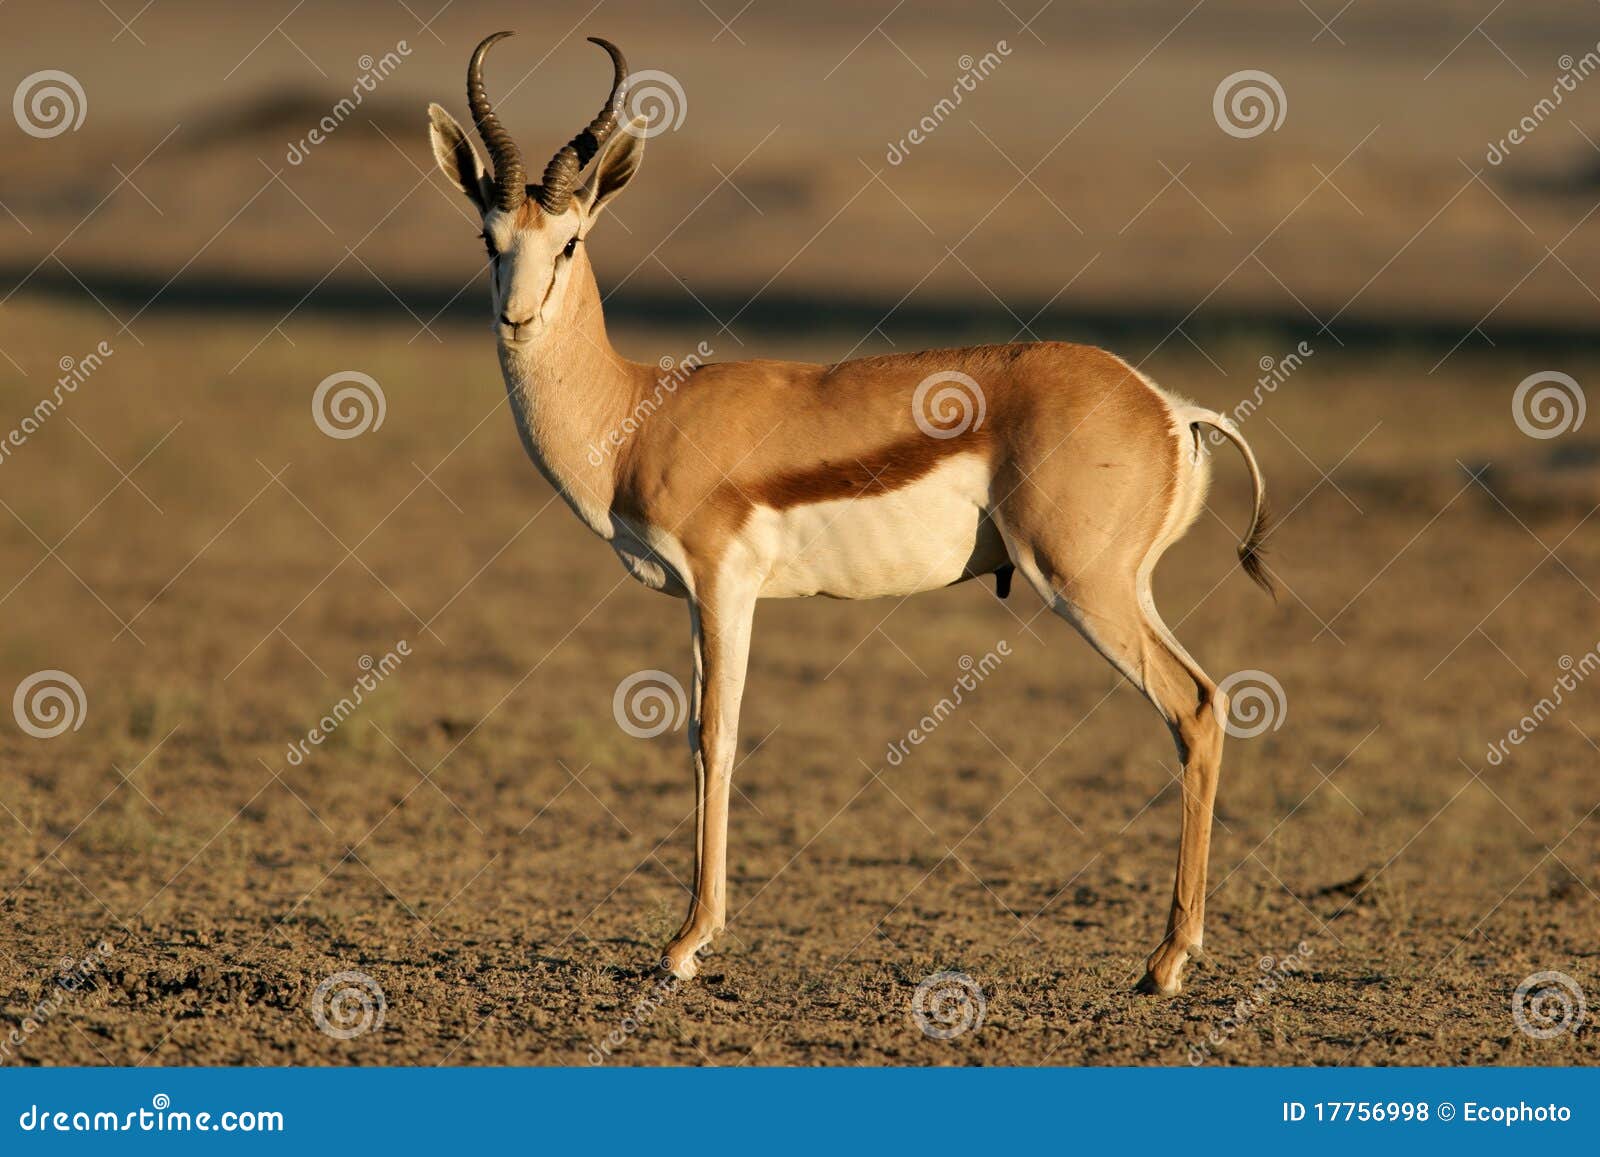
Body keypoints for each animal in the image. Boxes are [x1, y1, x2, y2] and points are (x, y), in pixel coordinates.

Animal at [427, 32, 1274, 994]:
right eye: (489, 238)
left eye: (569, 242)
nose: (516, 318)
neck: (635, 413)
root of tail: (1170, 408)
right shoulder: (696, 596)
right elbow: (697, 734)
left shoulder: (723, 583)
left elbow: (716, 734)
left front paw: (687, 941)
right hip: (1126, 585)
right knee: (1208, 700)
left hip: (1082, 583)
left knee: (1194, 705)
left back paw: (1165, 962)